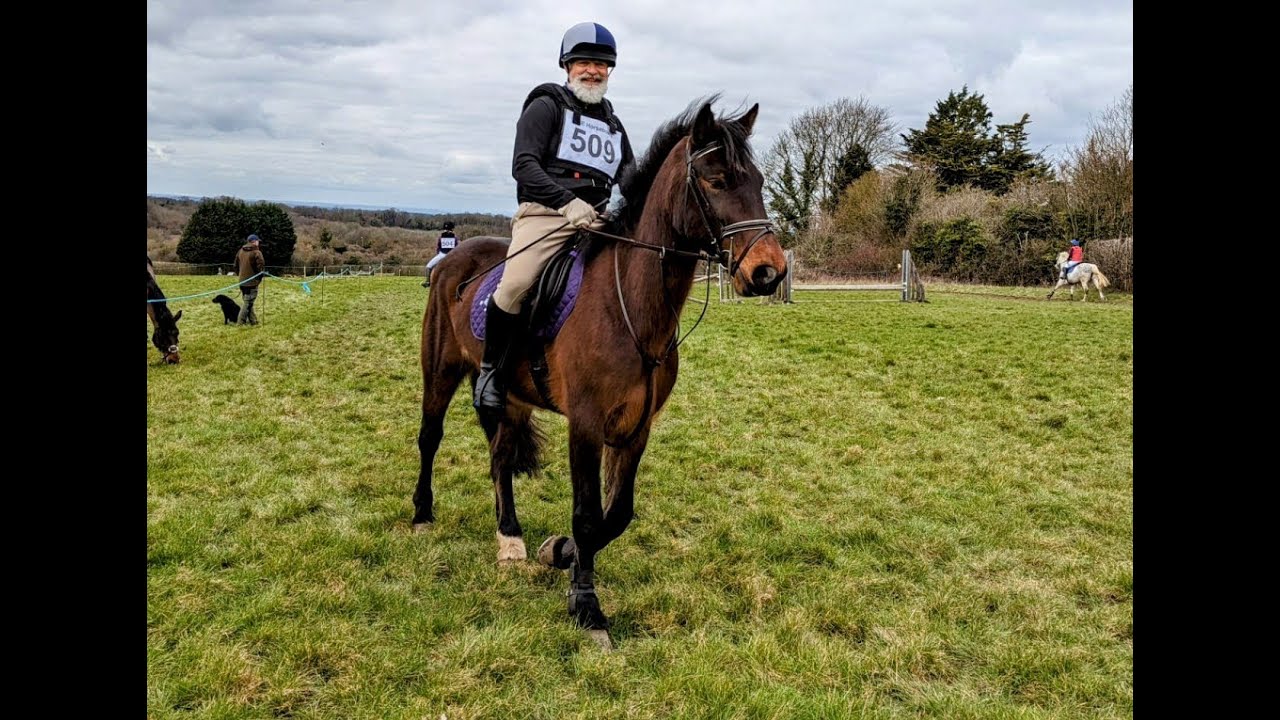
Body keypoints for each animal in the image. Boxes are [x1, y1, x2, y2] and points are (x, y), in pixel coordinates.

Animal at [413, 97, 787, 638]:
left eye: (757, 181)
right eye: (716, 181)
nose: (768, 272)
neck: (628, 303)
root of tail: (452, 260)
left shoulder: (636, 427)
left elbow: (618, 514)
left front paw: (560, 553)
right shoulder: (586, 424)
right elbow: (589, 514)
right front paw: (586, 607)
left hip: (510, 396)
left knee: (500, 457)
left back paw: (510, 537)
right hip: (440, 371)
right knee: (430, 436)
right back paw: (423, 514)